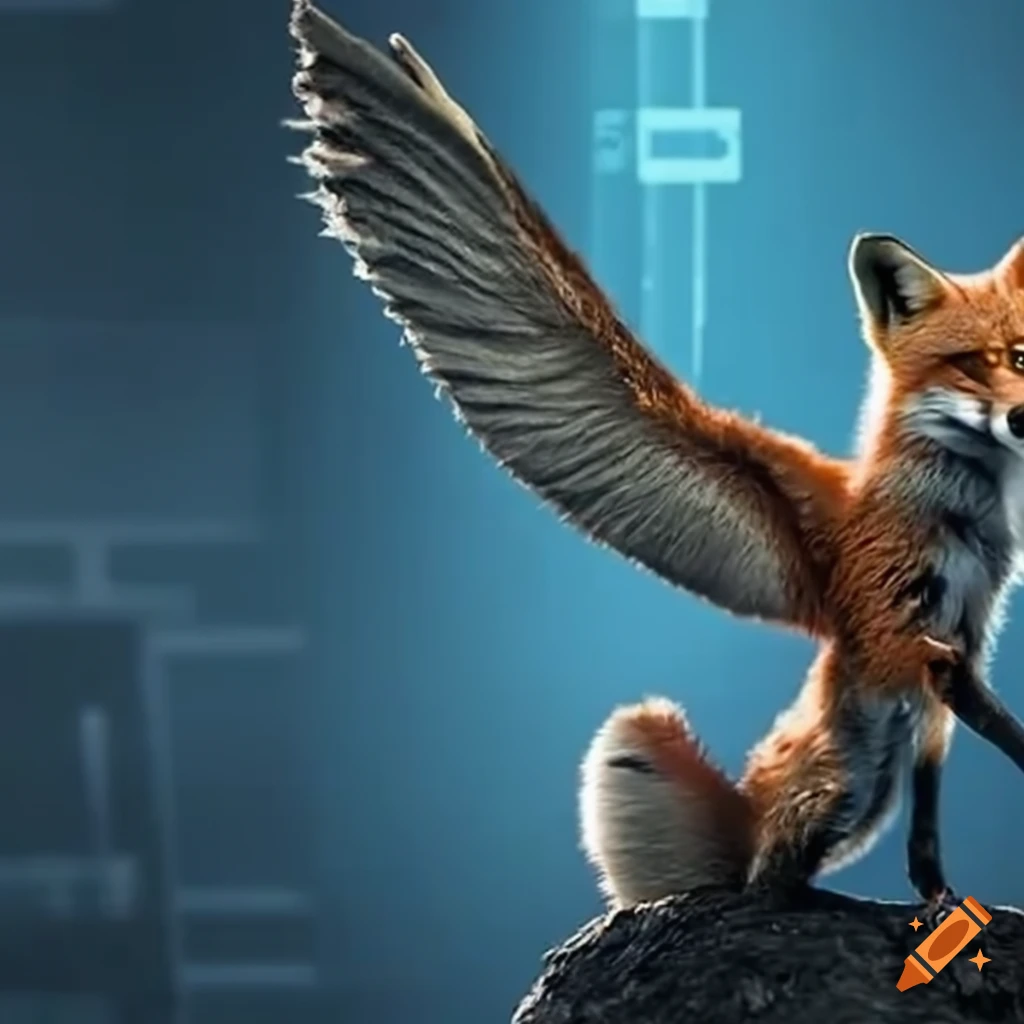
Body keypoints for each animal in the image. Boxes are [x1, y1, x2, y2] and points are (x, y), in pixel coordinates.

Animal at [287, 1, 1024, 923]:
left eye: (1022, 356)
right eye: (968, 365)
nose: (1020, 417)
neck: (963, 517)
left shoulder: (960, 656)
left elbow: (937, 799)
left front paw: (940, 892)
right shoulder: (906, 637)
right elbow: (970, 717)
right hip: (837, 790)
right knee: (767, 878)